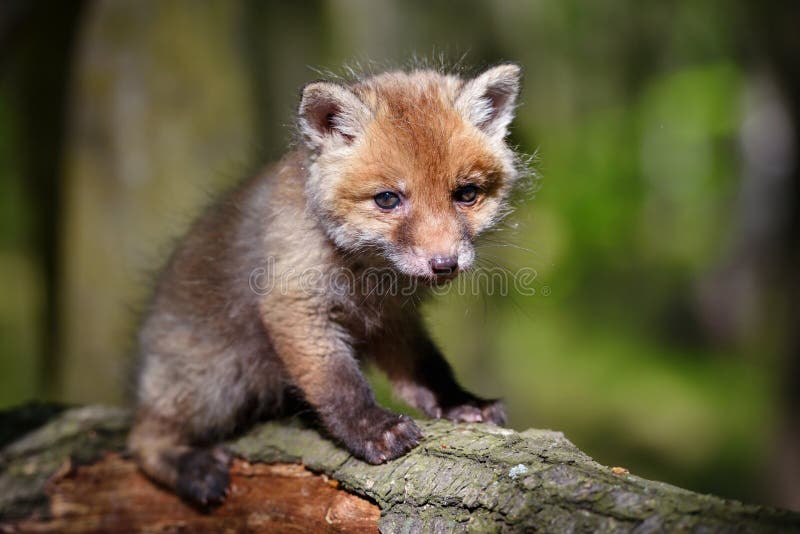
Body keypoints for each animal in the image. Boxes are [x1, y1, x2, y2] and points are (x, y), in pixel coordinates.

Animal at [128, 63, 526, 507]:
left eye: (467, 194)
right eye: (387, 199)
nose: (444, 264)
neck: (371, 280)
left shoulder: (394, 321)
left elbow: (428, 368)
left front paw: (460, 402)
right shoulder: (295, 305)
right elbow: (339, 384)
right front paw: (374, 430)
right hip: (213, 385)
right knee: (140, 438)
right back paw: (190, 467)